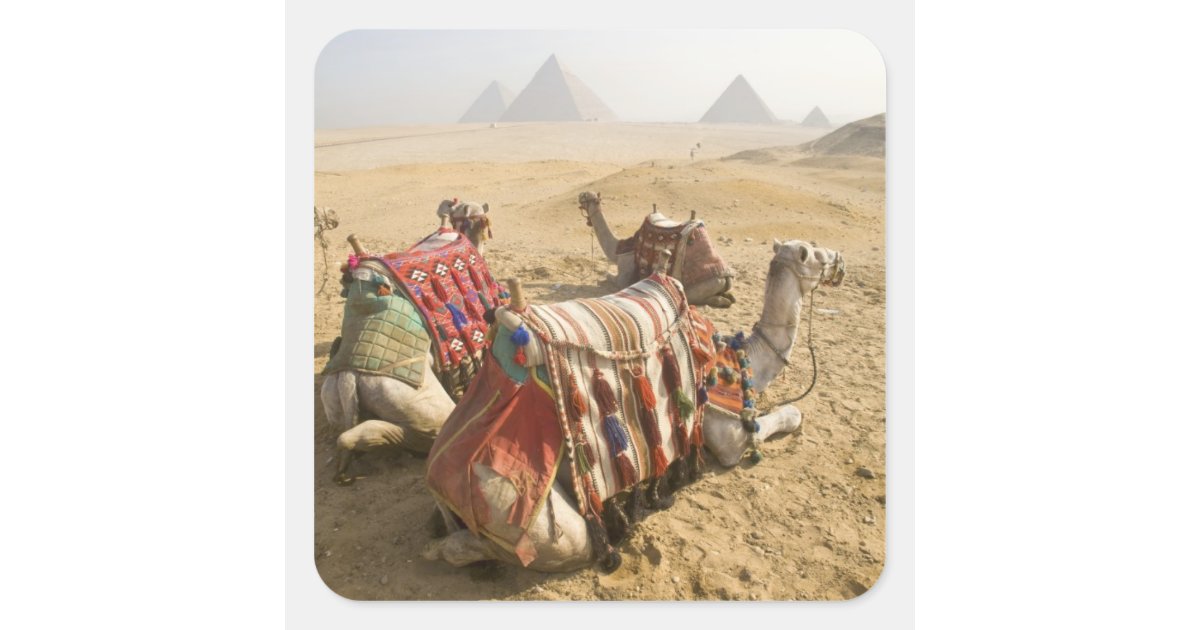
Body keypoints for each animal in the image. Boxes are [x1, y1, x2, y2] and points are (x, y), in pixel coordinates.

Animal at [423, 239, 846, 572]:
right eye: (814, 251)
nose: (838, 260)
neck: (740, 359)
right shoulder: (721, 433)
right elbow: (784, 416)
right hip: (527, 514)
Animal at [578, 191, 736, 308]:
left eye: (587, 197)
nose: (580, 195)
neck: (619, 250)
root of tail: (725, 275)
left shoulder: (624, 275)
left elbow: (608, 277)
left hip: (698, 288)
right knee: (728, 297)